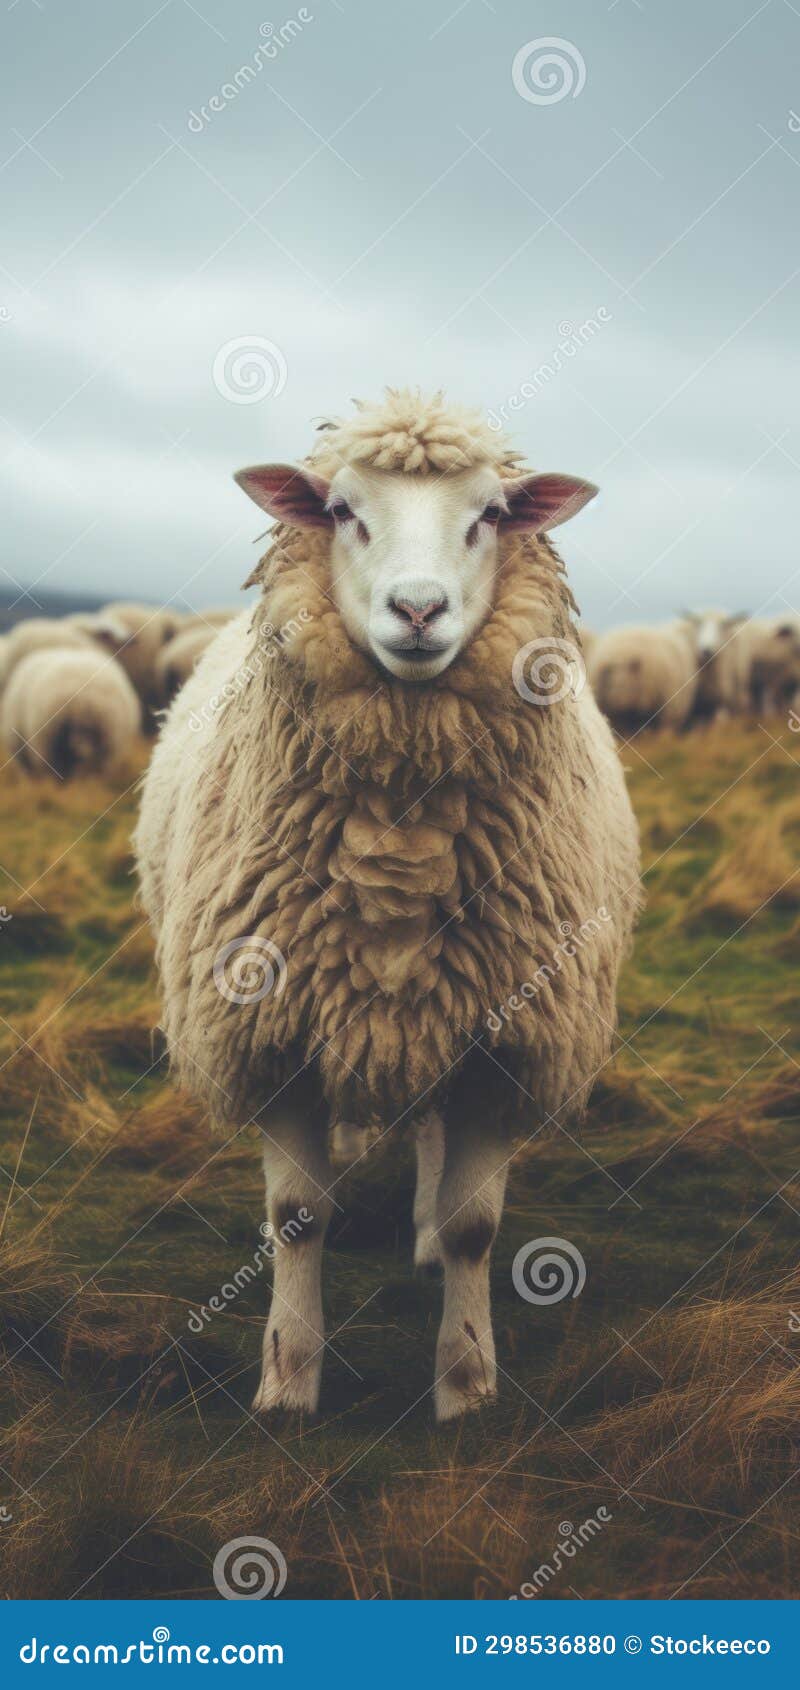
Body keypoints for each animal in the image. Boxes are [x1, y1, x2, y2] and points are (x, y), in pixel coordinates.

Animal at [135, 389, 641, 1422]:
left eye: (490, 514)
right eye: (341, 511)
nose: (417, 609)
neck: (402, 834)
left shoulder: (506, 1035)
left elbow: (475, 1227)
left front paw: (467, 1387)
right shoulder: (275, 1030)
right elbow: (296, 1218)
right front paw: (288, 1382)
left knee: (436, 1151)